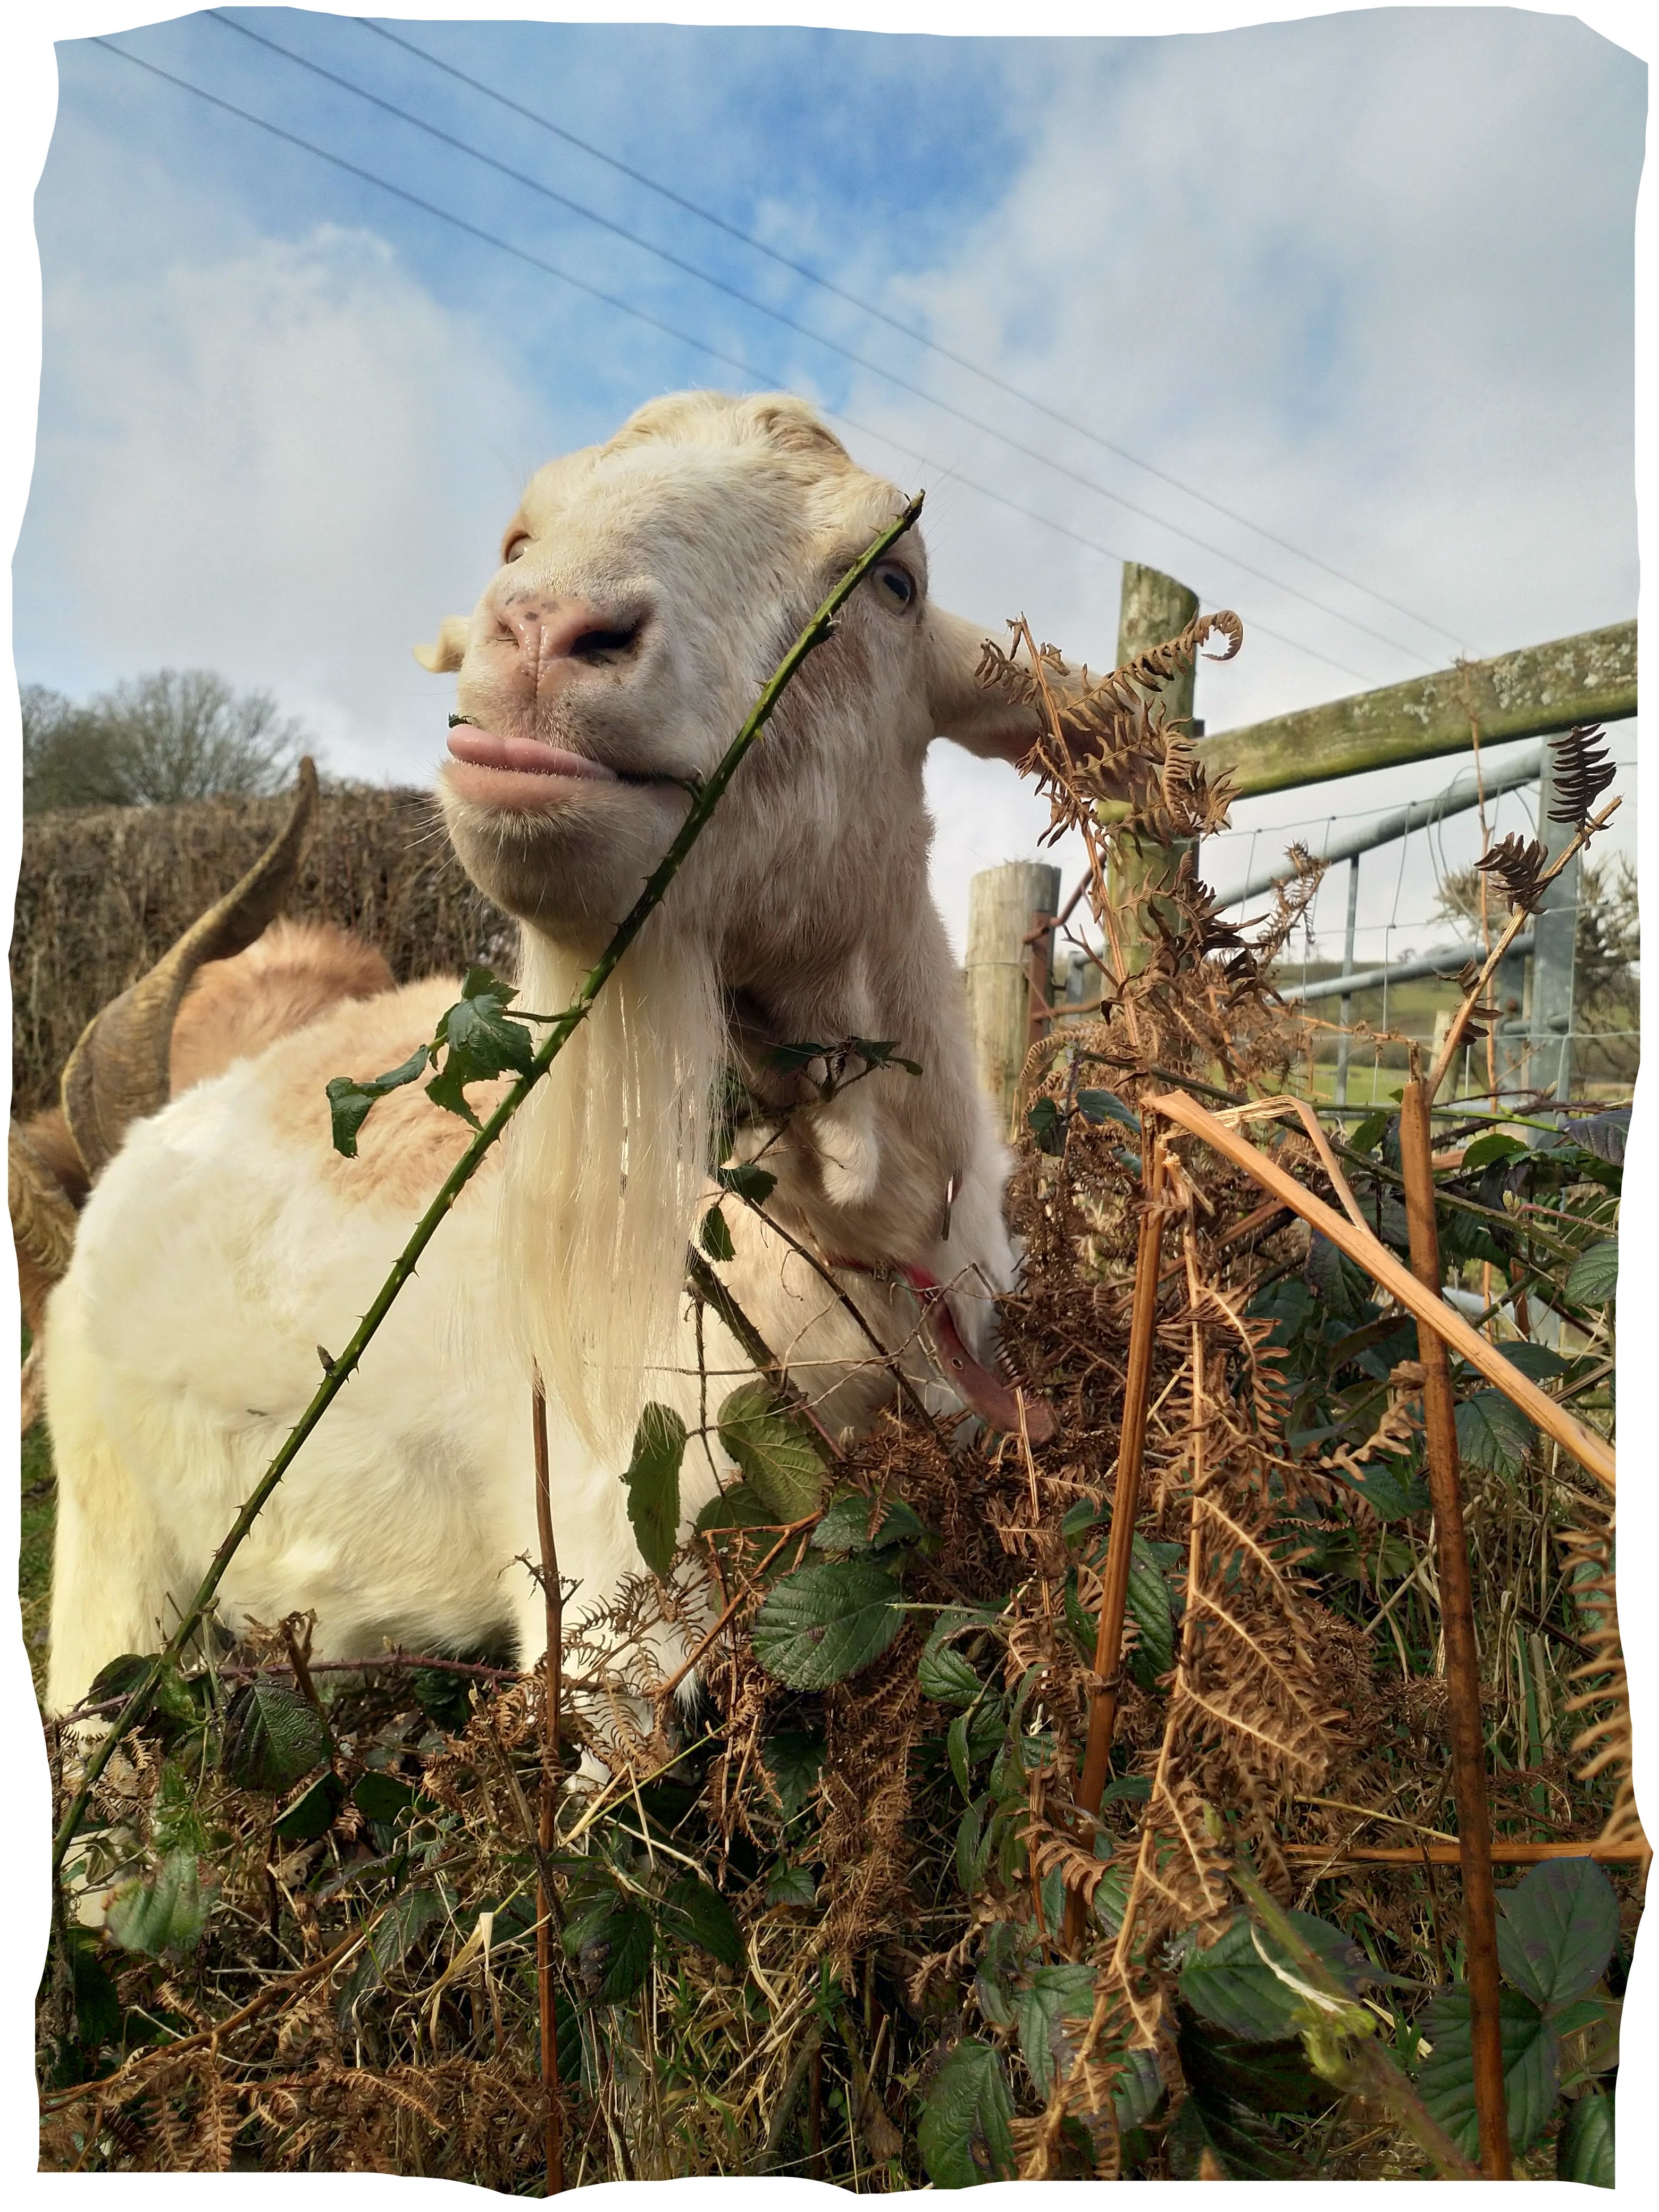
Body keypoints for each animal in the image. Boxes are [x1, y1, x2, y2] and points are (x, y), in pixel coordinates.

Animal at [36, 391, 1065, 1718]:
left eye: (893, 581)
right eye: (518, 540)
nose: (540, 628)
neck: (869, 1242)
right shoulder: (613, 1595)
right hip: (108, 1545)